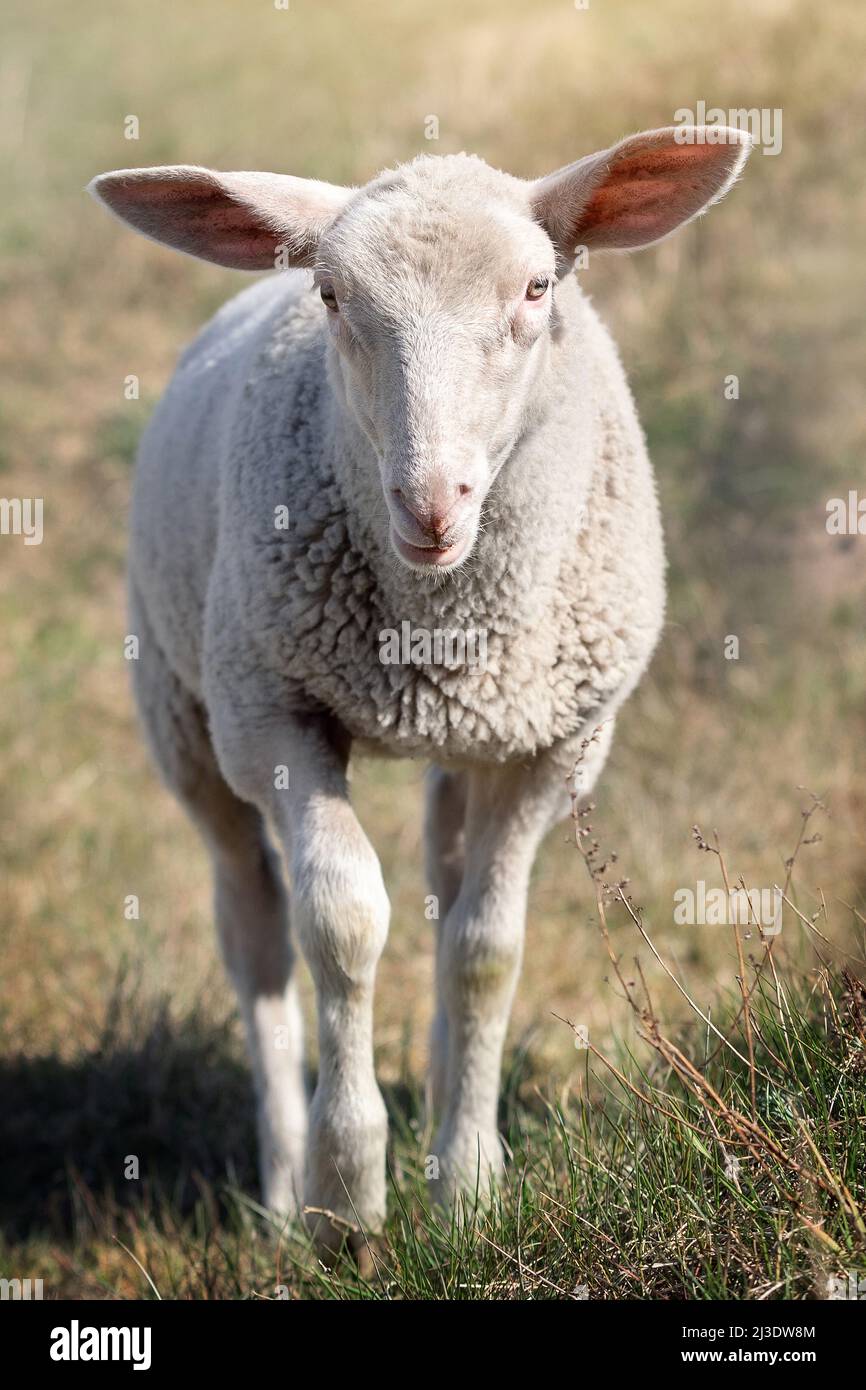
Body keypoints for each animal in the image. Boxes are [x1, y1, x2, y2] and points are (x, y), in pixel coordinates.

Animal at [89, 126, 750, 1262]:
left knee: (443, 885)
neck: (438, 610)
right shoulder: (276, 714)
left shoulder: (557, 744)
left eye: (536, 287)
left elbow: (485, 949)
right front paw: (347, 1196)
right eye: (330, 296)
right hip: (186, 711)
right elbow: (342, 926)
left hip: (466, 737)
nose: (429, 502)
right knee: (255, 931)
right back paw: (278, 1193)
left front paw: (469, 1187)